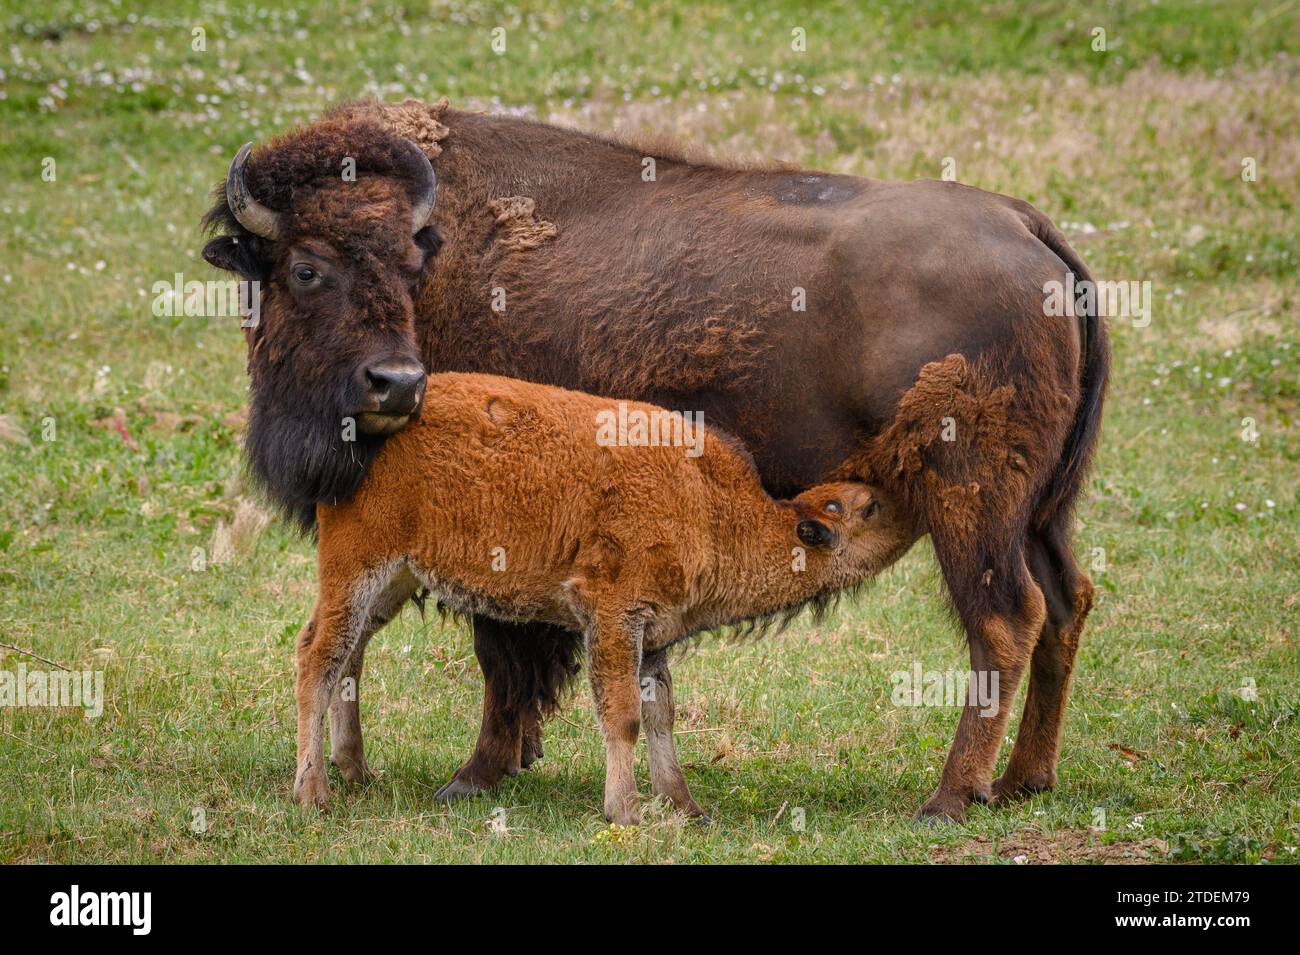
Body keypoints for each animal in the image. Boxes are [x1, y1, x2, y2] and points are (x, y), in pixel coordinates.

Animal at [201, 97, 1107, 821]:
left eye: (409, 260)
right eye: (304, 266)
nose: (394, 384)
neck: (450, 250)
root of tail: (1028, 230)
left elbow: (503, 652)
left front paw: (475, 775)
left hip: (971, 507)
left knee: (1004, 619)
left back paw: (949, 796)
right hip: (1040, 513)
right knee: (1068, 603)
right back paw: (1024, 780)